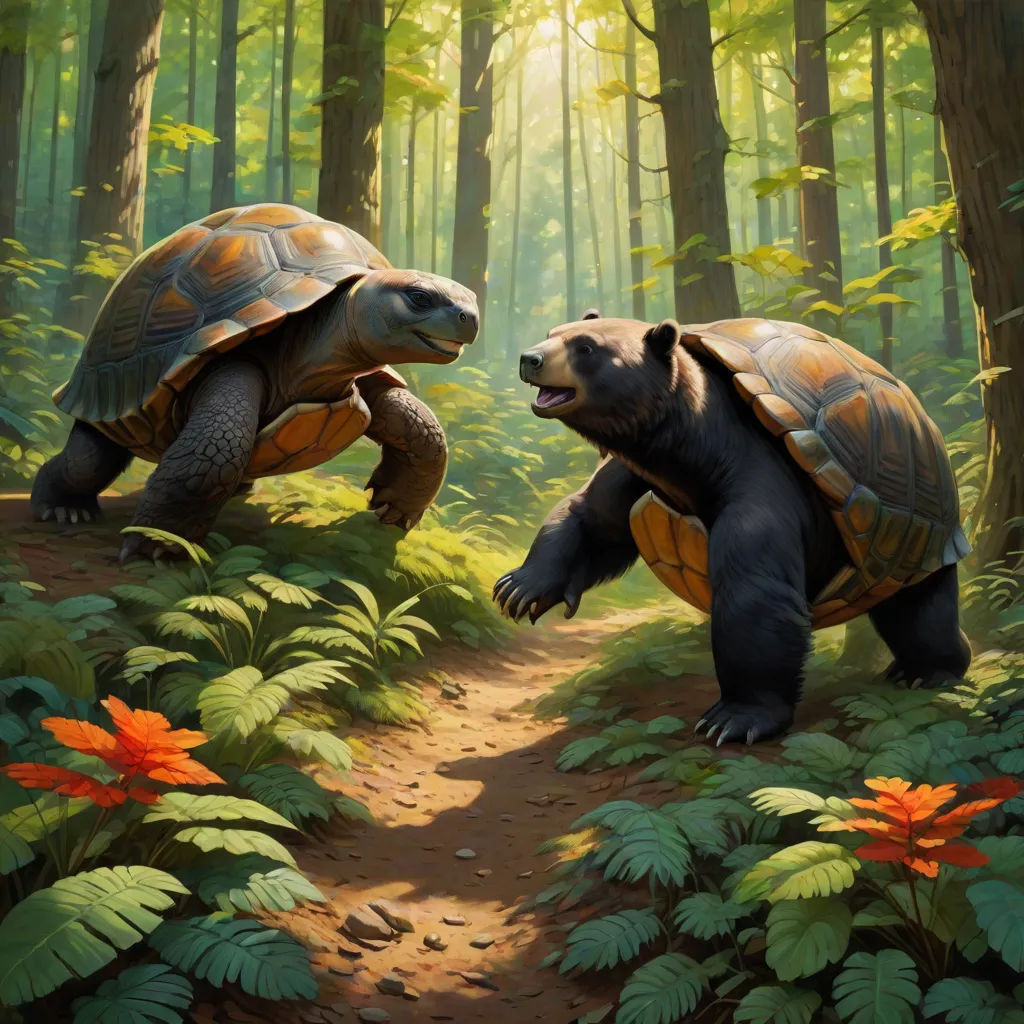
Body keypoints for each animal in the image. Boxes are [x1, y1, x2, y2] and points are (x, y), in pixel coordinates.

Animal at [493, 312, 971, 745]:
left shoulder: (768, 472)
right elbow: (589, 516)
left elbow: (753, 594)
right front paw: (519, 589)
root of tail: (924, 423)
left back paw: (931, 671)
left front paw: (734, 718)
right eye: (556, 331)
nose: (529, 358)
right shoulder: (639, 473)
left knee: (922, 613)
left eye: (586, 348)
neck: (689, 454)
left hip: (917, 532)